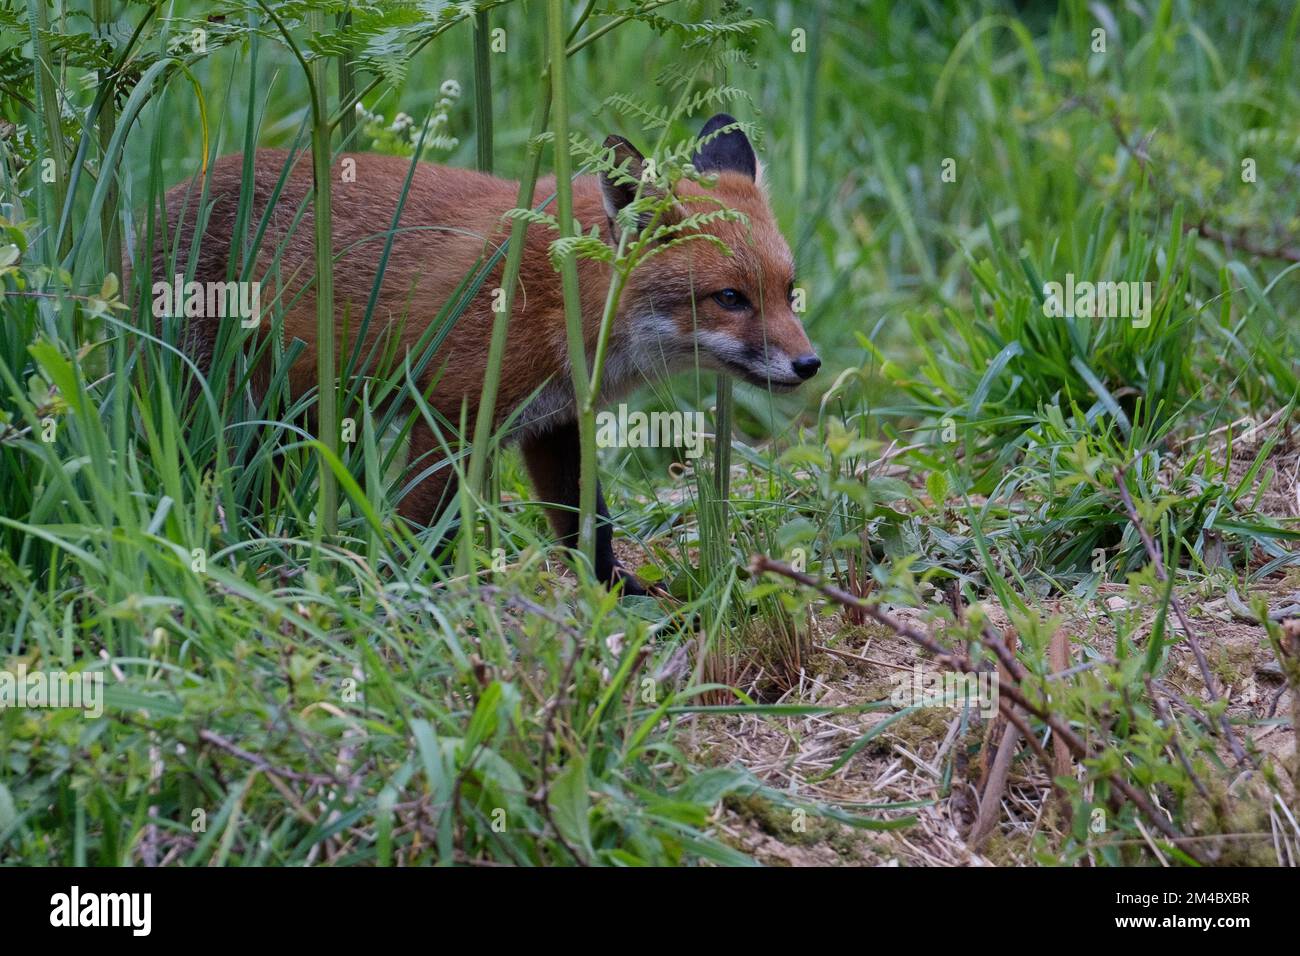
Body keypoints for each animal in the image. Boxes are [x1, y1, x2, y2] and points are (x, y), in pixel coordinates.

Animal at [153, 113, 819, 594]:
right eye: (730, 298)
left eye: (789, 291)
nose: (809, 365)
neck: (564, 295)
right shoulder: (451, 415)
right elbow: (421, 530)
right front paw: (402, 598)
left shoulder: (553, 423)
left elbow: (588, 526)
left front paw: (620, 596)